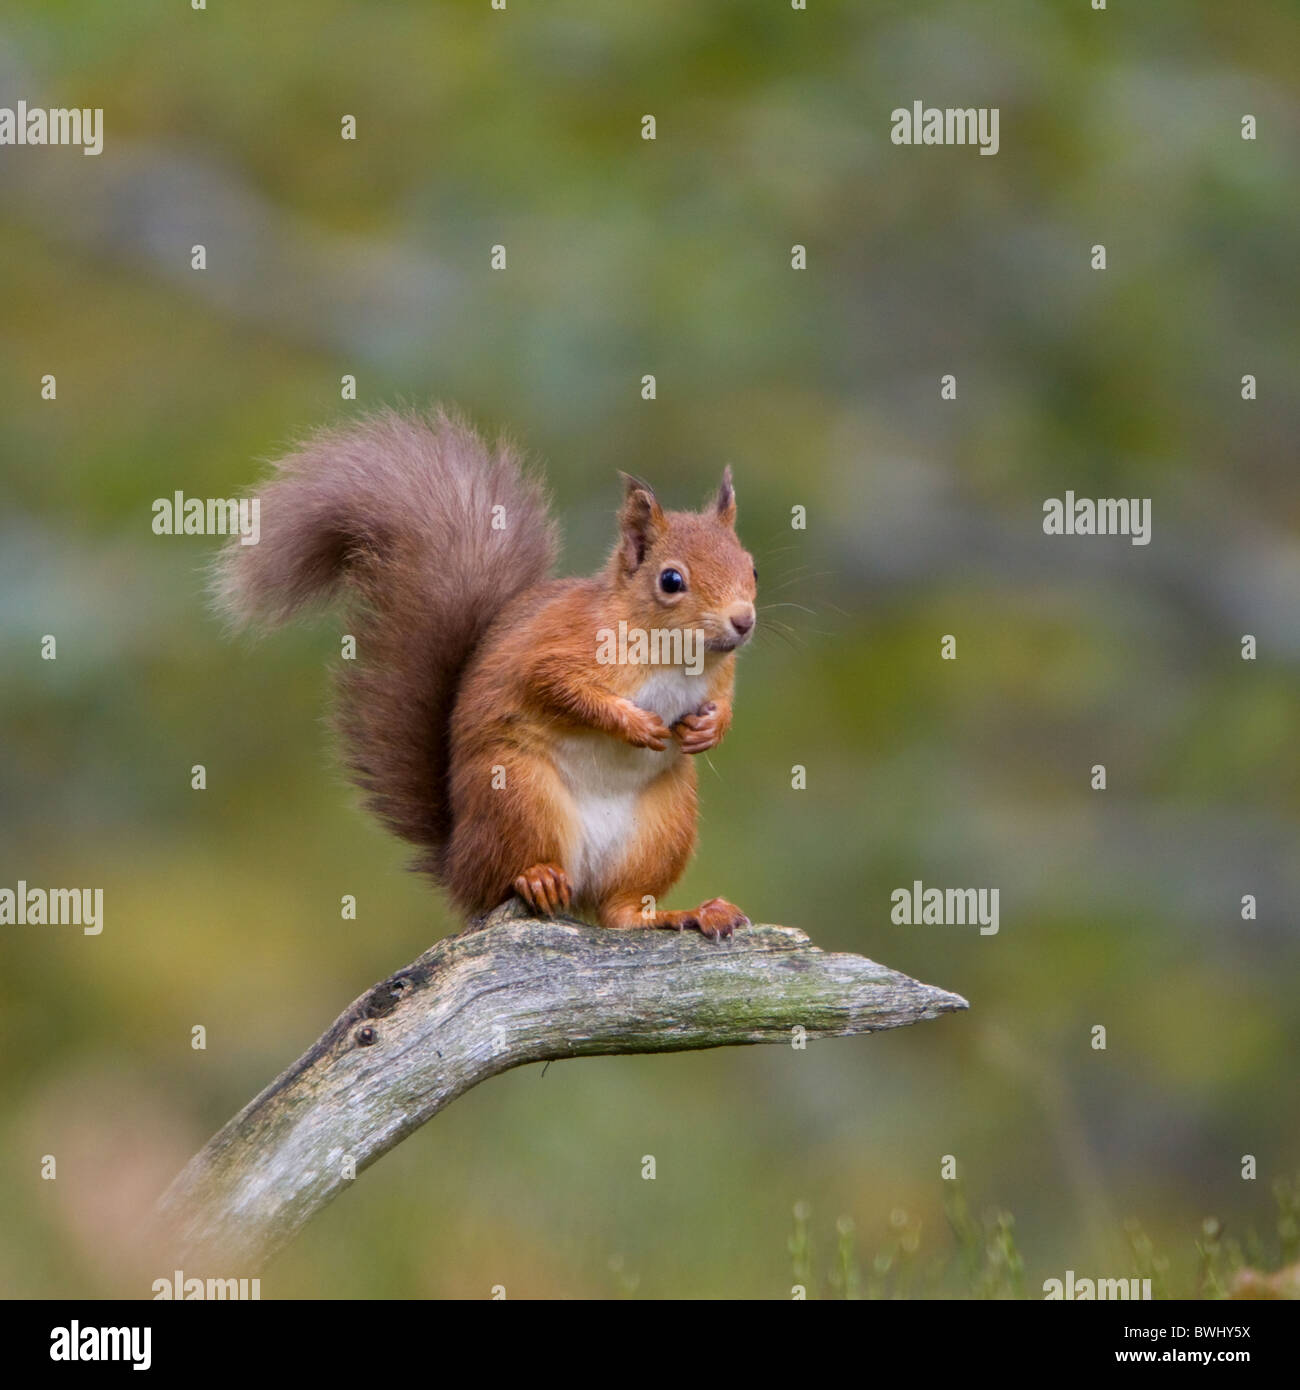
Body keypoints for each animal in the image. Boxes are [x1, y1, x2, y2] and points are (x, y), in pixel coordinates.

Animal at [216, 407, 758, 940]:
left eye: (751, 568)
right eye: (671, 580)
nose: (744, 621)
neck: (676, 654)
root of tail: (459, 862)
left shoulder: (721, 677)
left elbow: (725, 704)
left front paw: (710, 728)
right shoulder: (559, 650)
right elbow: (556, 687)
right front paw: (634, 723)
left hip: (662, 825)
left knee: (621, 912)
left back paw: (687, 913)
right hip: (518, 793)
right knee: (508, 880)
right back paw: (538, 879)